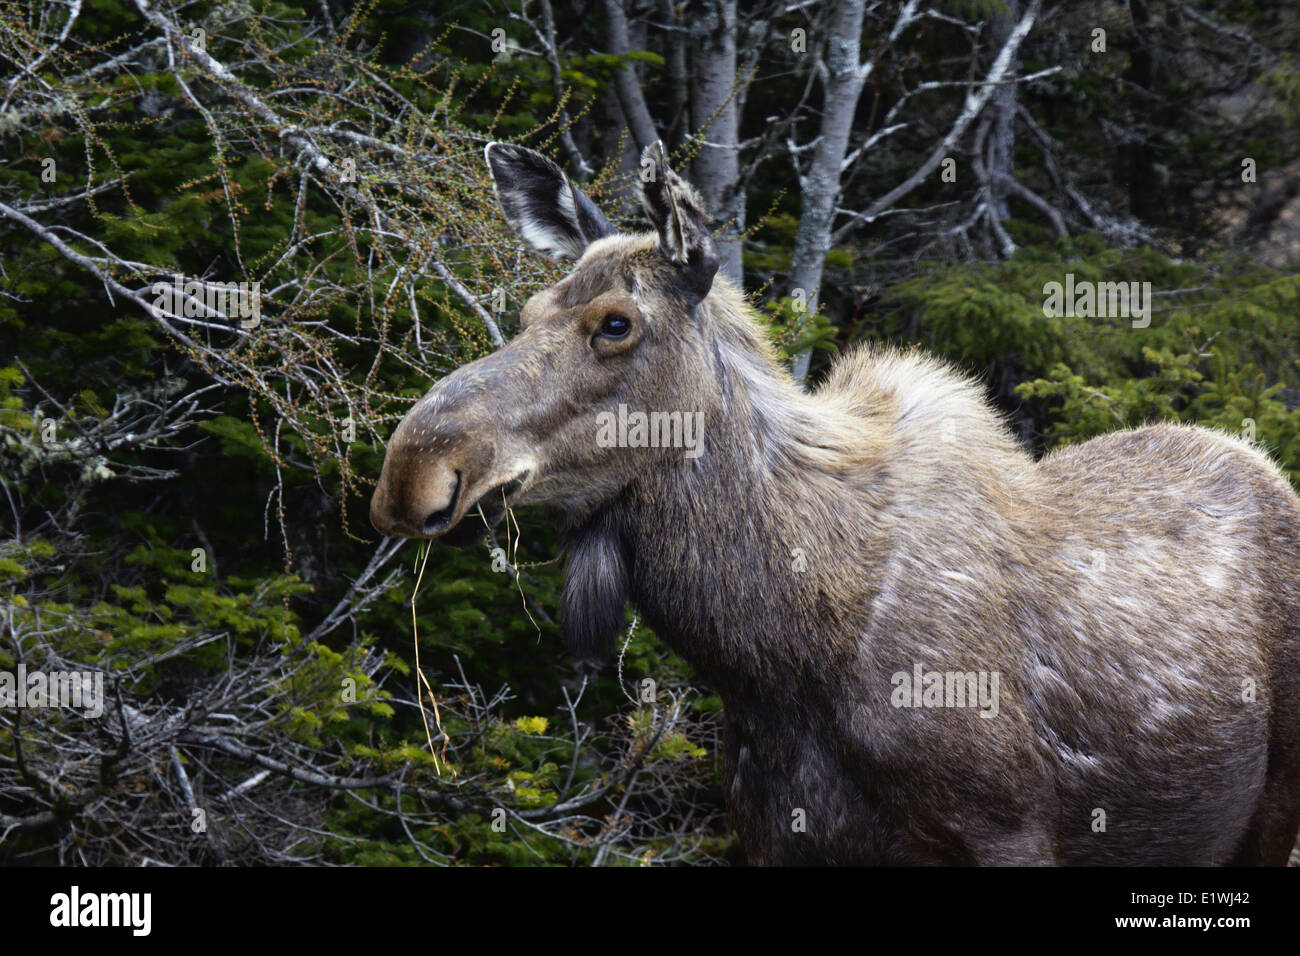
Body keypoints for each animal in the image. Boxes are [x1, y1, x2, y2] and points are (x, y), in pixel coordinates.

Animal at [370, 140, 1300, 865]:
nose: (412, 471)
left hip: (1272, 808)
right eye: (528, 309)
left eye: (616, 323)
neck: (776, 654)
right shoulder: (777, 836)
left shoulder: (1010, 831)